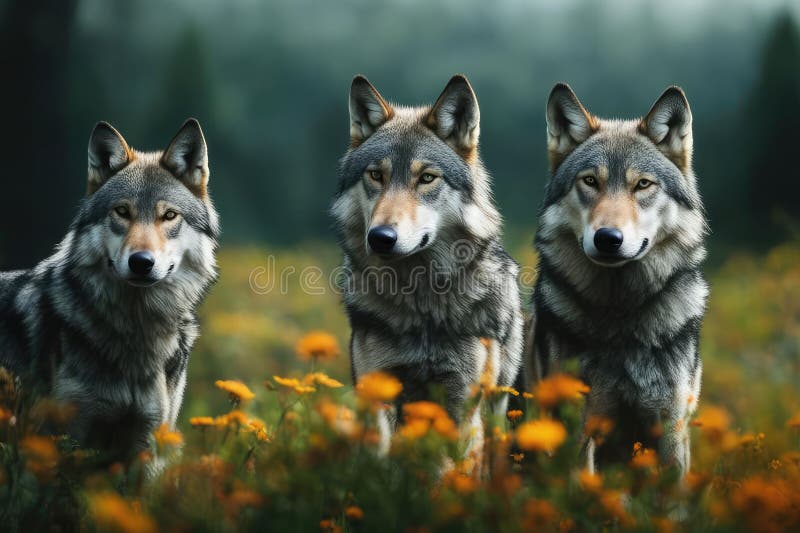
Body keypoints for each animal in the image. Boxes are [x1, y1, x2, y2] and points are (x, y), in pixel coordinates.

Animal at [0, 119, 219, 462]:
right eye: (122, 212)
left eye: (169, 215)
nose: (141, 262)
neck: (136, 332)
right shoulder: (64, 437)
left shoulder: (147, 444)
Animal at [331, 74, 524, 454]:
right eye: (376, 175)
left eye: (427, 178)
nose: (381, 237)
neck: (420, 305)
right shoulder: (379, 394)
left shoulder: (460, 399)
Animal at [528, 83, 708, 475]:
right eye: (590, 181)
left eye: (642, 185)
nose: (608, 238)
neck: (622, 317)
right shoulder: (581, 429)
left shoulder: (671, 431)